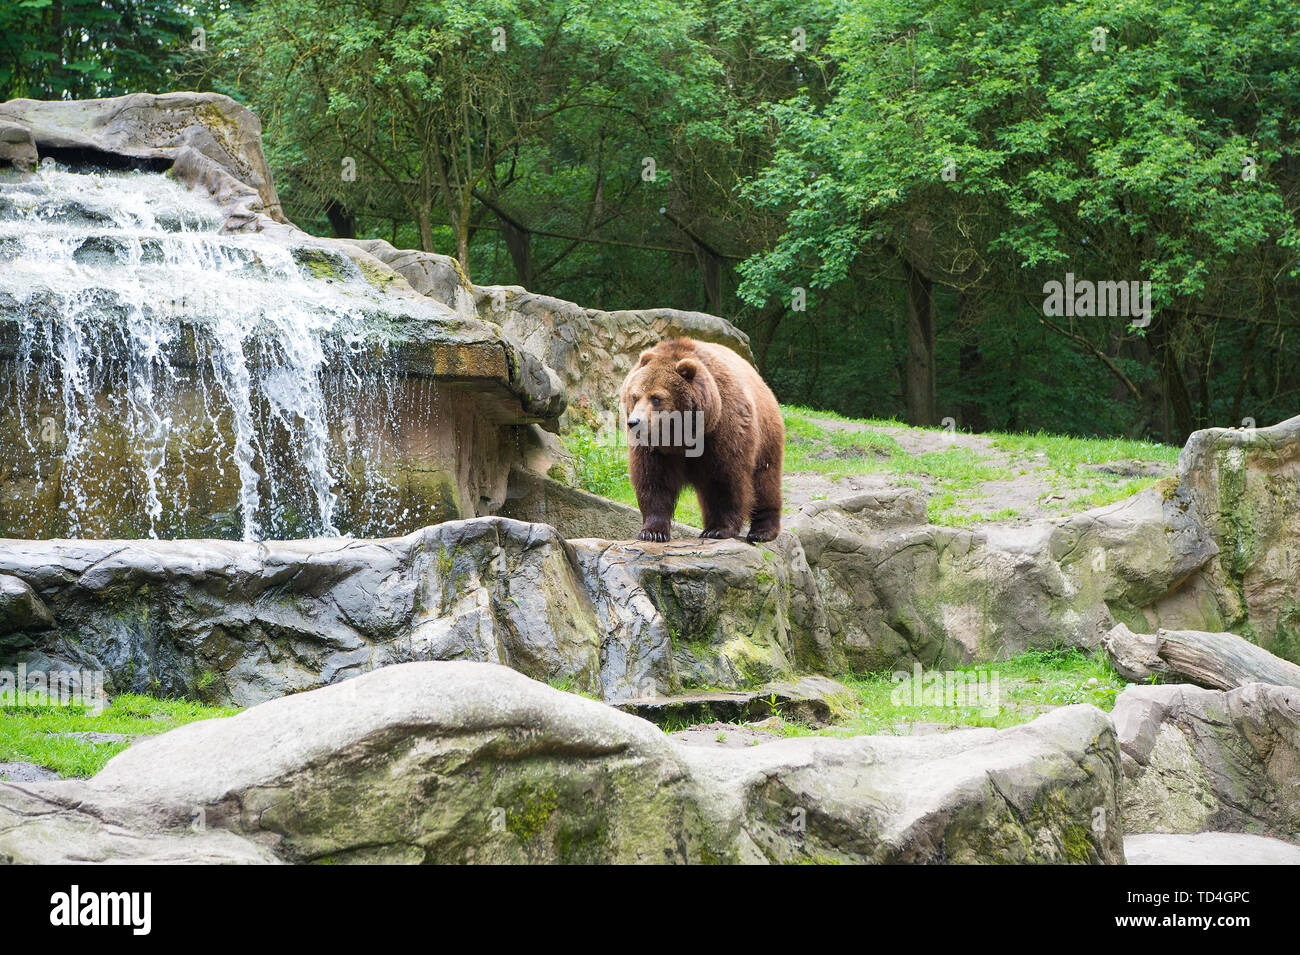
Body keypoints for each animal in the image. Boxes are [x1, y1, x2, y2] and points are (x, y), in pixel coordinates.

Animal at [618, 337, 784, 543]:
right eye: (635, 396)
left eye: (656, 398)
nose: (634, 422)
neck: (682, 434)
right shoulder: (654, 448)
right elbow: (654, 479)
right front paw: (652, 531)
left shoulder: (723, 429)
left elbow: (725, 478)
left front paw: (719, 529)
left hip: (766, 434)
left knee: (765, 480)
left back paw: (762, 531)